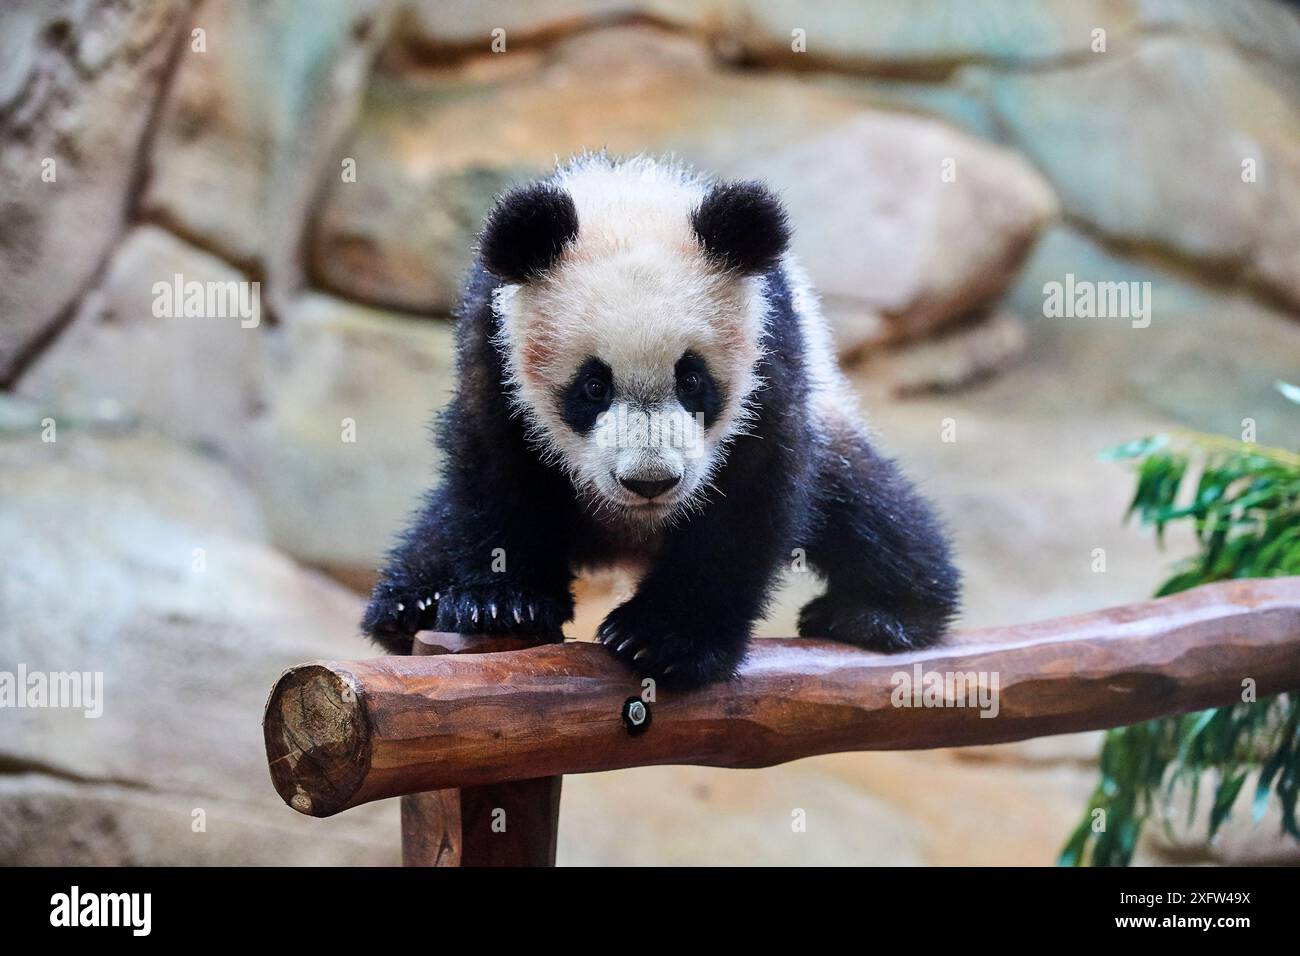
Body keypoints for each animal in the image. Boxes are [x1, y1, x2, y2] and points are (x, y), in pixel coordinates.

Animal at [362, 154, 960, 688]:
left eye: (691, 379)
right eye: (593, 386)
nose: (649, 482)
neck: (630, 203)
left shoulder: (771, 357)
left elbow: (748, 497)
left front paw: (663, 638)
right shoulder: (493, 344)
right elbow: (494, 464)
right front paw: (503, 603)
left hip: (830, 418)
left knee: (868, 505)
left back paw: (881, 612)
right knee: (439, 522)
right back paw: (411, 600)